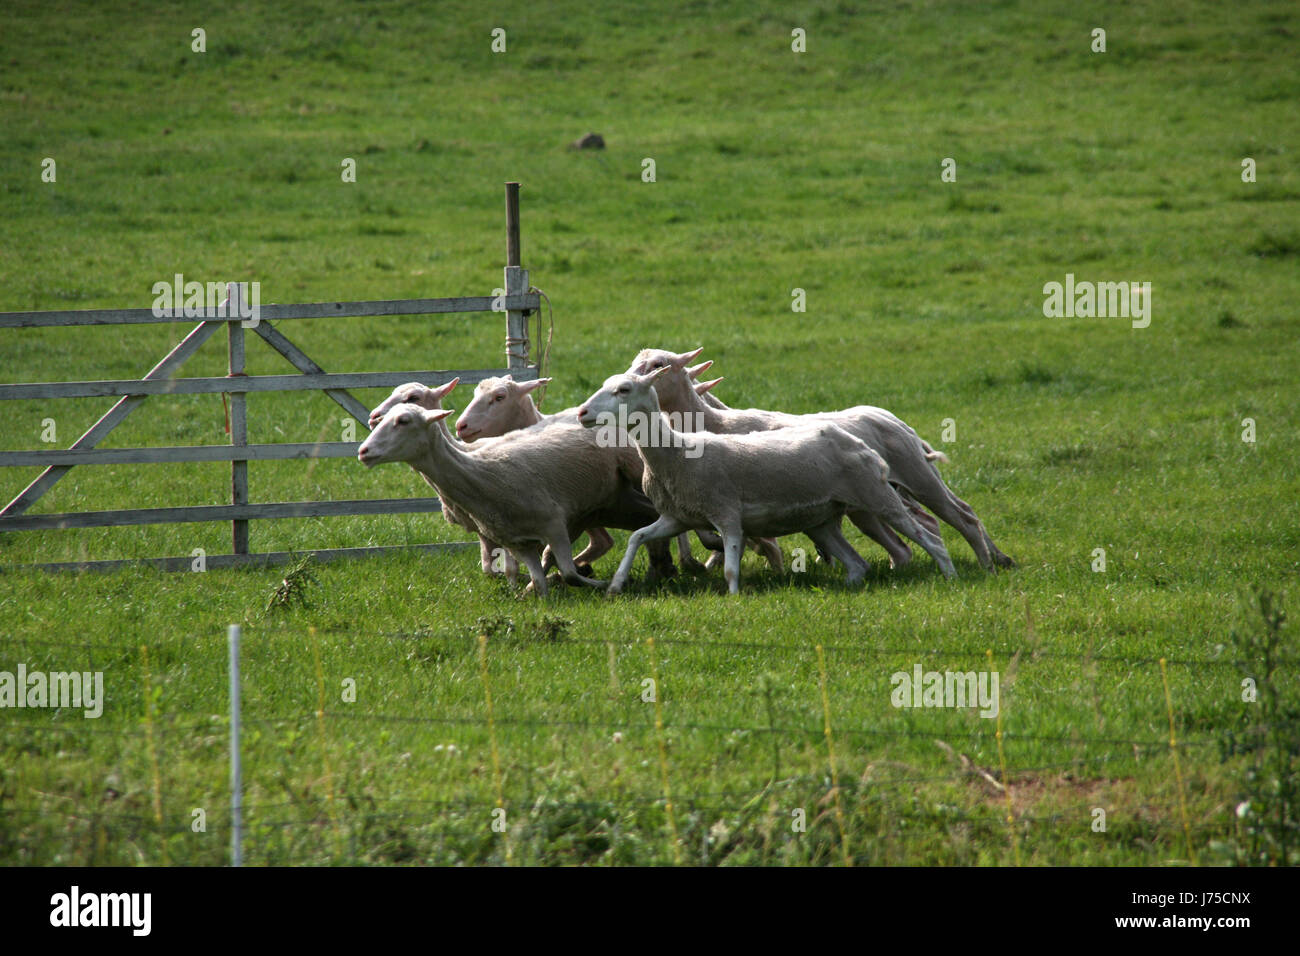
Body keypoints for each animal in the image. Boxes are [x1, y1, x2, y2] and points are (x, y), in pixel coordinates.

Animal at [359, 403, 674, 596]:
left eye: (403, 421)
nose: (363, 451)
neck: (483, 475)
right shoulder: (516, 542)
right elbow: (539, 580)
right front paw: (541, 597)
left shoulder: (553, 525)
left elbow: (570, 573)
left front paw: (602, 583)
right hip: (611, 502)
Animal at [576, 369, 956, 594]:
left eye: (624, 389)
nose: (582, 413)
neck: (675, 453)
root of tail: (860, 444)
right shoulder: (677, 517)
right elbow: (637, 537)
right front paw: (616, 584)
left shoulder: (727, 514)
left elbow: (730, 569)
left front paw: (733, 599)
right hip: (822, 520)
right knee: (857, 564)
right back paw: (848, 586)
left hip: (878, 495)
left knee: (931, 539)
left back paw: (949, 575)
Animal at [628, 348, 1014, 571]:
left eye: (659, 365)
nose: (629, 380)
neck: (713, 423)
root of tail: (893, 418)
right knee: (939, 520)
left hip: (916, 475)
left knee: (961, 516)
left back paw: (988, 564)